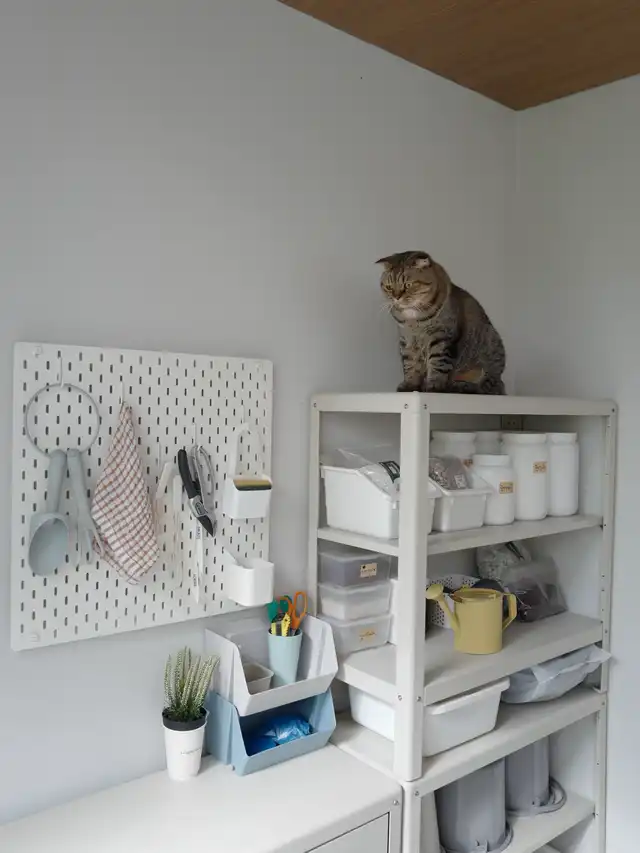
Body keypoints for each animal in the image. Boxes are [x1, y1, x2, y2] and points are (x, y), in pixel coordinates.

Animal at [377, 251, 506, 394]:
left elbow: (438, 363)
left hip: (491, 347)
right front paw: (410, 385)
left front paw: (434, 385)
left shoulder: (441, 337)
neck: (414, 320)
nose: (396, 298)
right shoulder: (407, 340)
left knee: (489, 385)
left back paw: (459, 386)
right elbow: (410, 364)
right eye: (389, 287)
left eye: (408, 285)